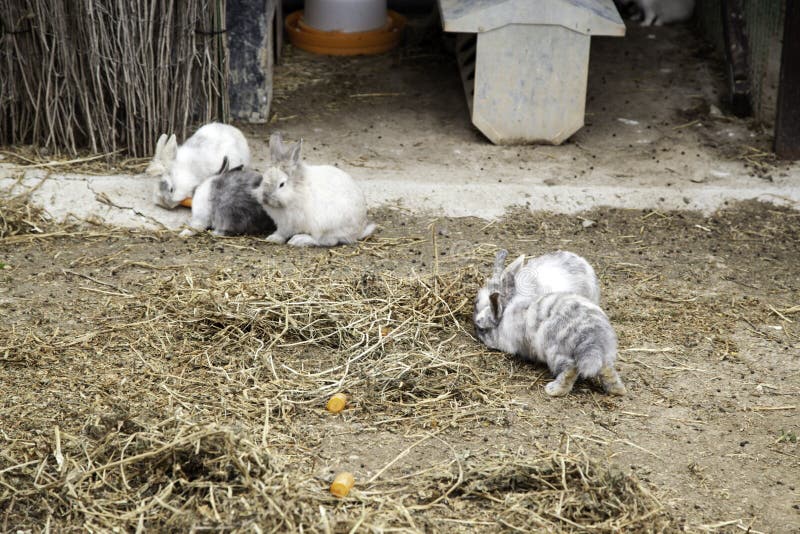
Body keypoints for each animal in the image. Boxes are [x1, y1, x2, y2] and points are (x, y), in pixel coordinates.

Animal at [474, 250, 625, 397]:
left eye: (481, 329)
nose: (475, 330)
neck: (504, 318)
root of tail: (593, 342)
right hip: (604, 359)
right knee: (608, 371)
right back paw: (618, 391)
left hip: (555, 352)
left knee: (570, 370)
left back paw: (553, 390)